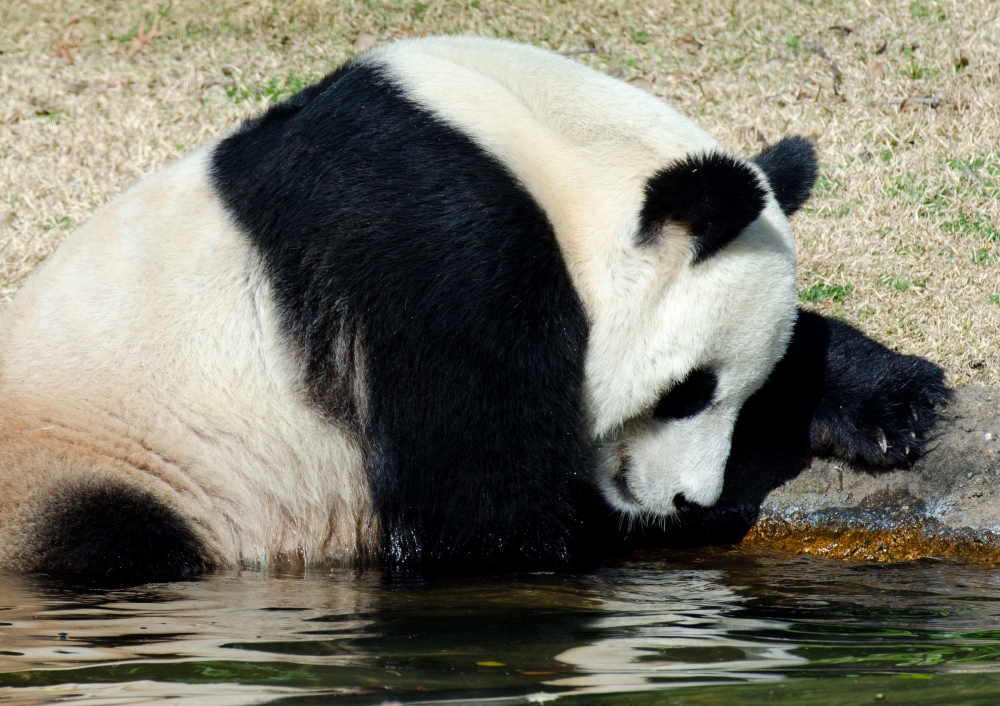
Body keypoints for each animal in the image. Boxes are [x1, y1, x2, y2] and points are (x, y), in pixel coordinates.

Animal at [0, 36, 947, 584]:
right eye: (688, 391)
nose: (688, 501)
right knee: (115, 542)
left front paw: (893, 404)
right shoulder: (437, 250)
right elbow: (473, 503)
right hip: (103, 454)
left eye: (737, 394)